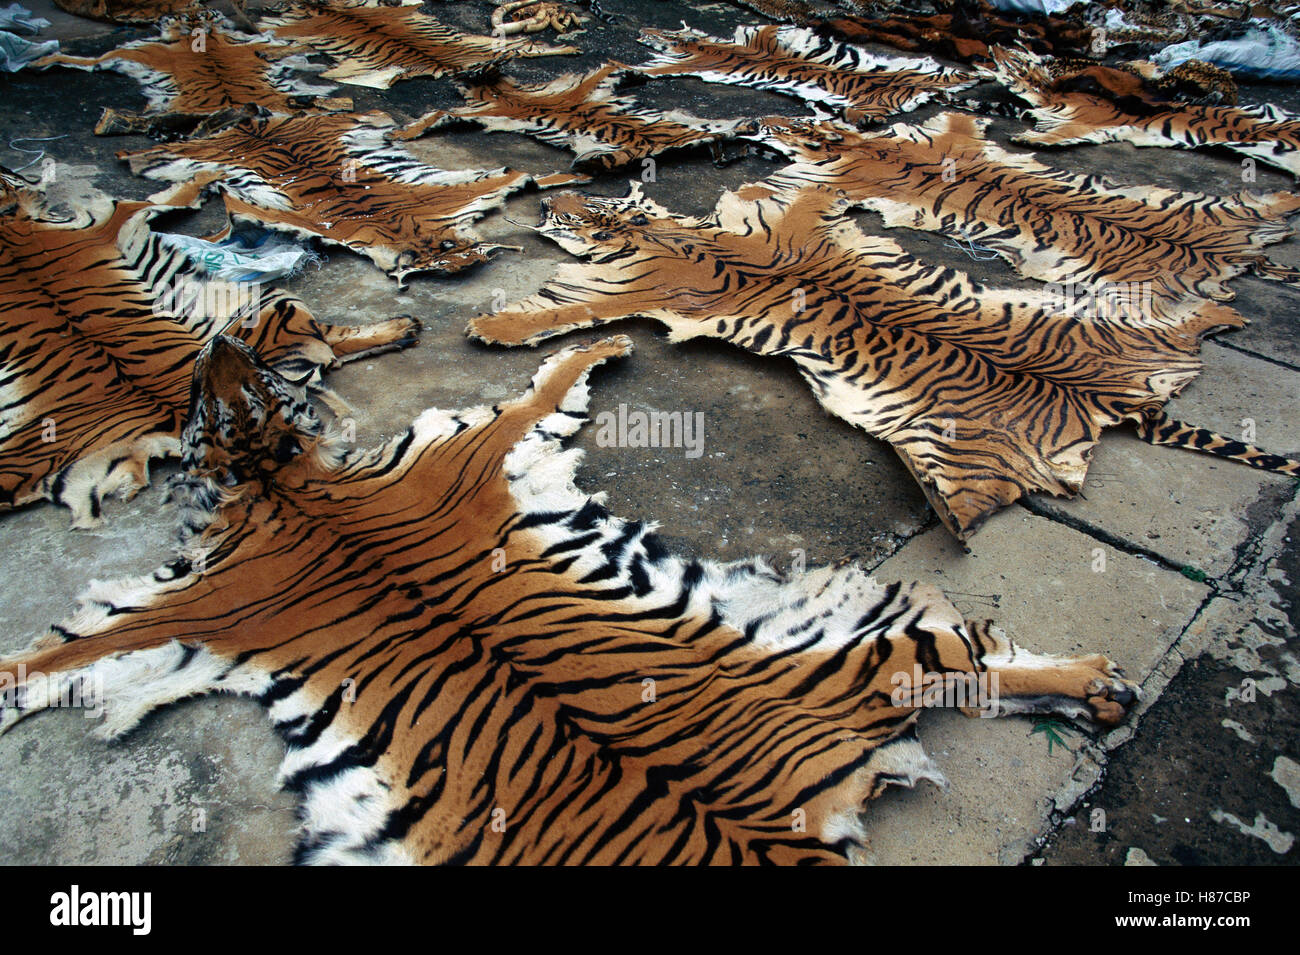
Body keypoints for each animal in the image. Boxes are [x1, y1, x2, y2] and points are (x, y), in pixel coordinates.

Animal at [0, 171, 419, 527]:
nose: (23, 180)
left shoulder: (112, 218)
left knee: (327, 344)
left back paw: (404, 328)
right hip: (271, 310)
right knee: (328, 344)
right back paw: (404, 328)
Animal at [0, 333, 1139, 865]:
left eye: (238, 382)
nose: (217, 347)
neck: (282, 481)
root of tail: (779, 839)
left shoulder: (454, 457)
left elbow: (535, 395)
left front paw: (598, 345)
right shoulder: (200, 605)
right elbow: (72, 648)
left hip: (848, 647)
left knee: (978, 658)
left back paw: (1099, 686)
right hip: (859, 659)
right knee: (976, 665)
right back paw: (1101, 689)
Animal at [466, 181, 1300, 540]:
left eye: (584, 210)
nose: (547, 200)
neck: (662, 236)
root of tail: (1113, 401)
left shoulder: (635, 289)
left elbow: (565, 308)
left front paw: (495, 324)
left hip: (954, 458)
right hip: (1123, 313)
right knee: (1193, 325)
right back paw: (1220, 314)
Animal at [630, 24, 977, 125]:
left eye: (664, 32)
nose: (643, 31)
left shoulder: (689, 64)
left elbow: (654, 68)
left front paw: (628, 68)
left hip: (866, 105)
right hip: (926, 69)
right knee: (958, 75)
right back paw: (978, 73)